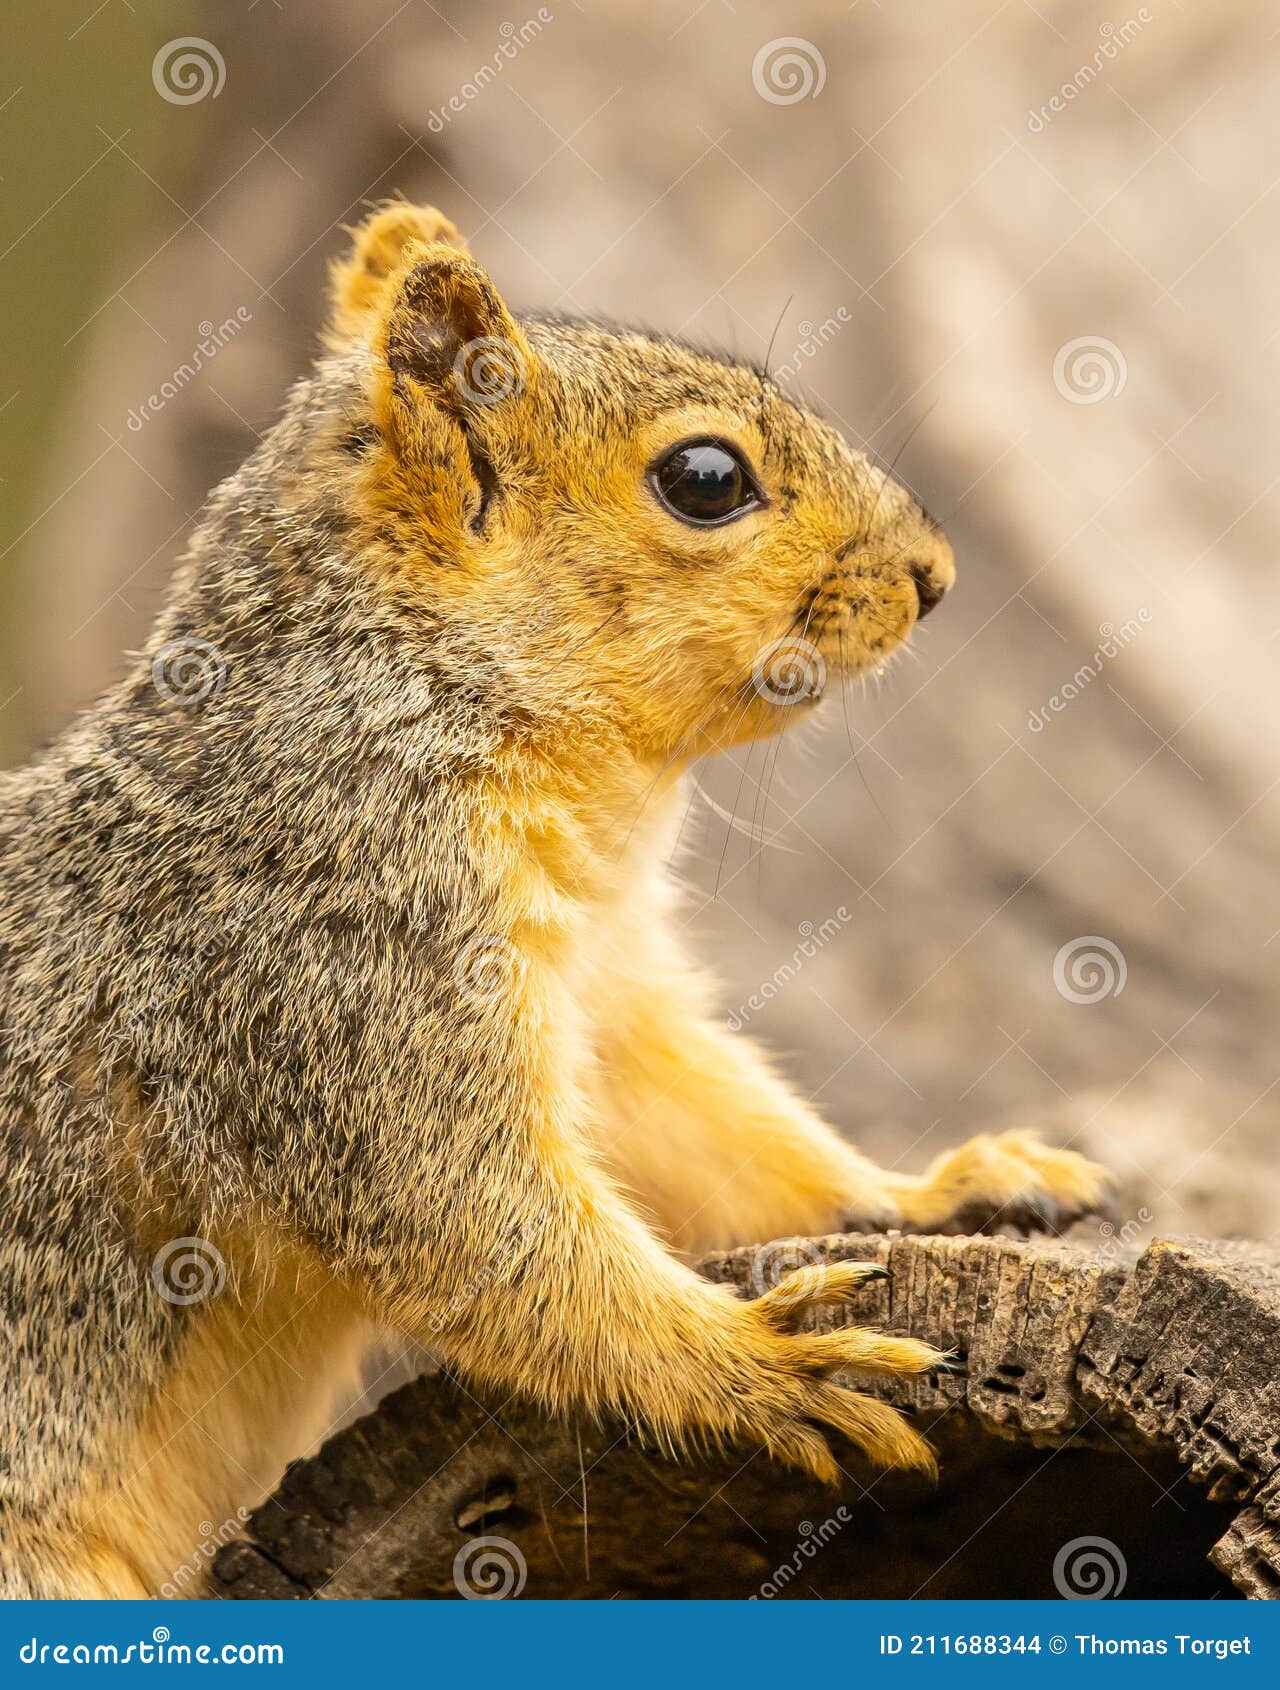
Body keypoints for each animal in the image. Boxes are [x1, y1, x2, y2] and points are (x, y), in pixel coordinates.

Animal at [0, 203, 1110, 1598]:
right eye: (706, 479)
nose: (935, 572)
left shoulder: (609, 986)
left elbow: (711, 1133)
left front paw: (933, 1191)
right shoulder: (334, 964)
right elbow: (465, 1218)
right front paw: (754, 1363)